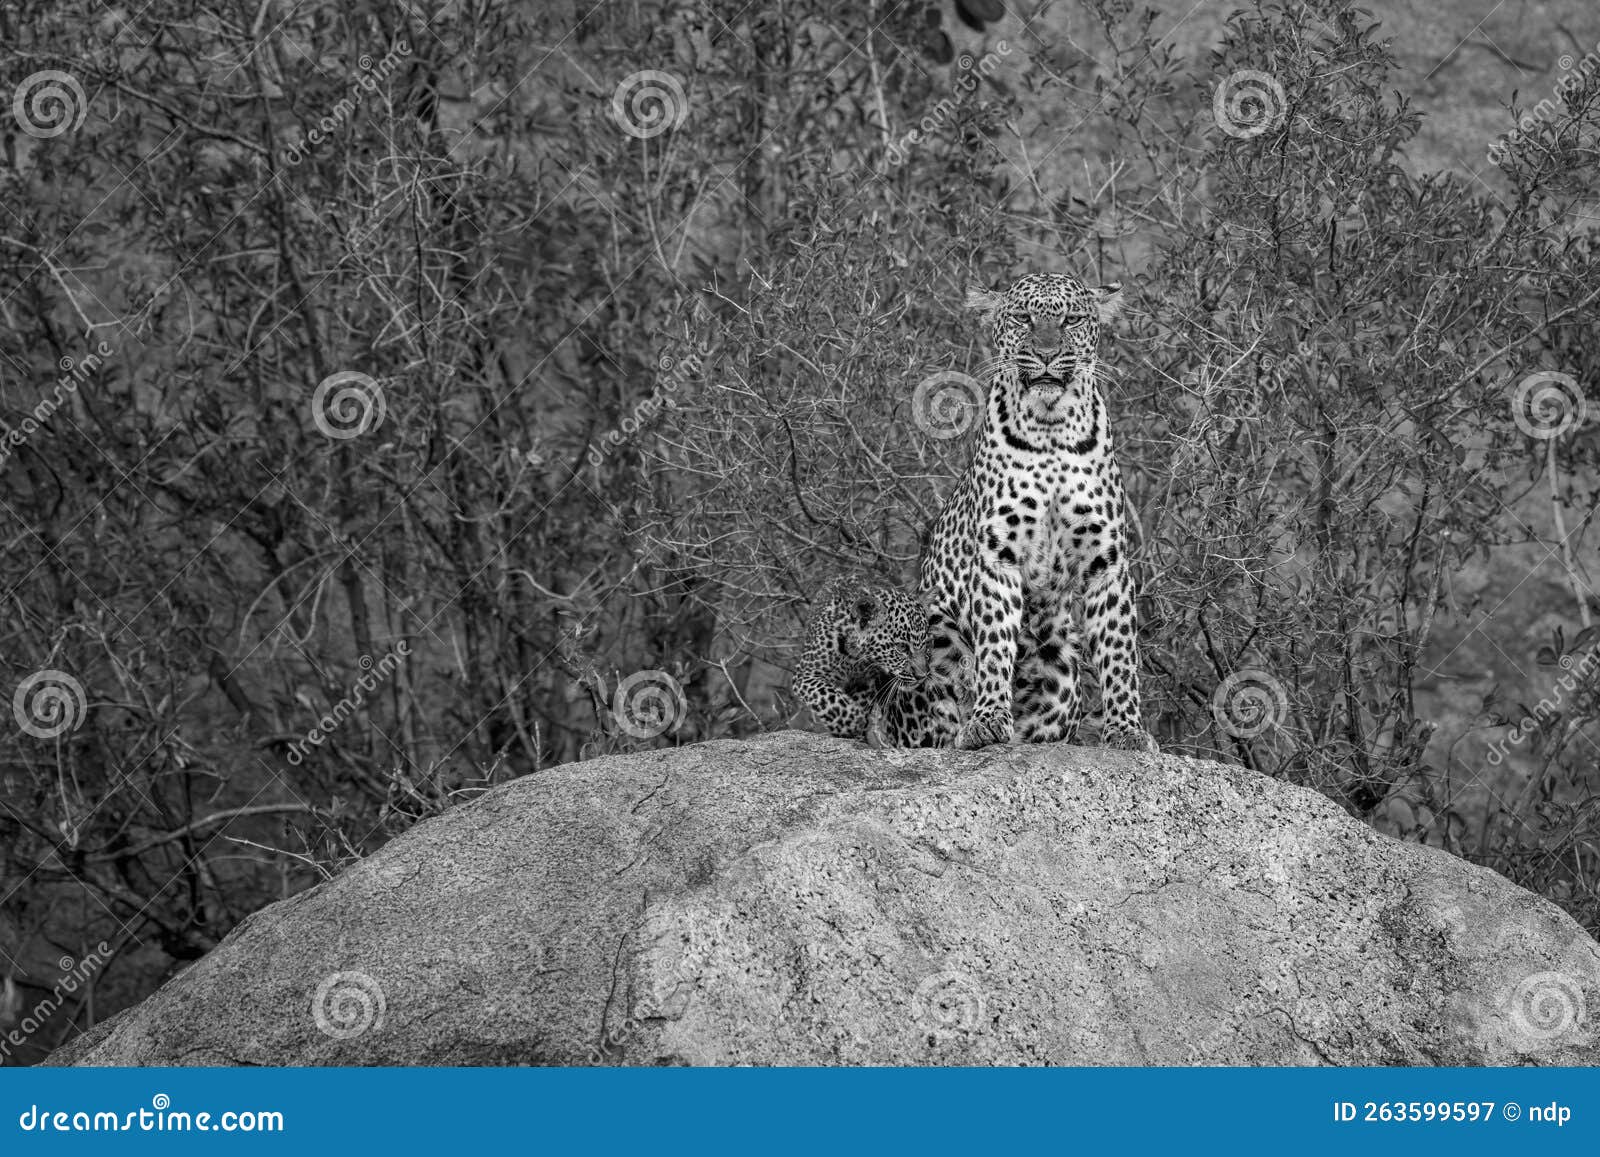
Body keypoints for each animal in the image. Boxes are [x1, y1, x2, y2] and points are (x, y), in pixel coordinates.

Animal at [790, 576, 931, 743]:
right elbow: (828, 697)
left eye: (926, 646)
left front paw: (857, 729)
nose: (922, 676)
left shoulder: (865, 682)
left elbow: (859, 701)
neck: (855, 655)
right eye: (902, 647)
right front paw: (853, 722)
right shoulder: (806, 674)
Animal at [883, 272, 1159, 754]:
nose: (1047, 353)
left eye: (1071, 320)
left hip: (1062, 666)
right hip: (934, 636)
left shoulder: (1107, 561)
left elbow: (1121, 652)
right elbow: (994, 644)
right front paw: (988, 720)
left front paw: (1127, 730)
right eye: (1022, 318)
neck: (1051, 426)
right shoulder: (999, 554)